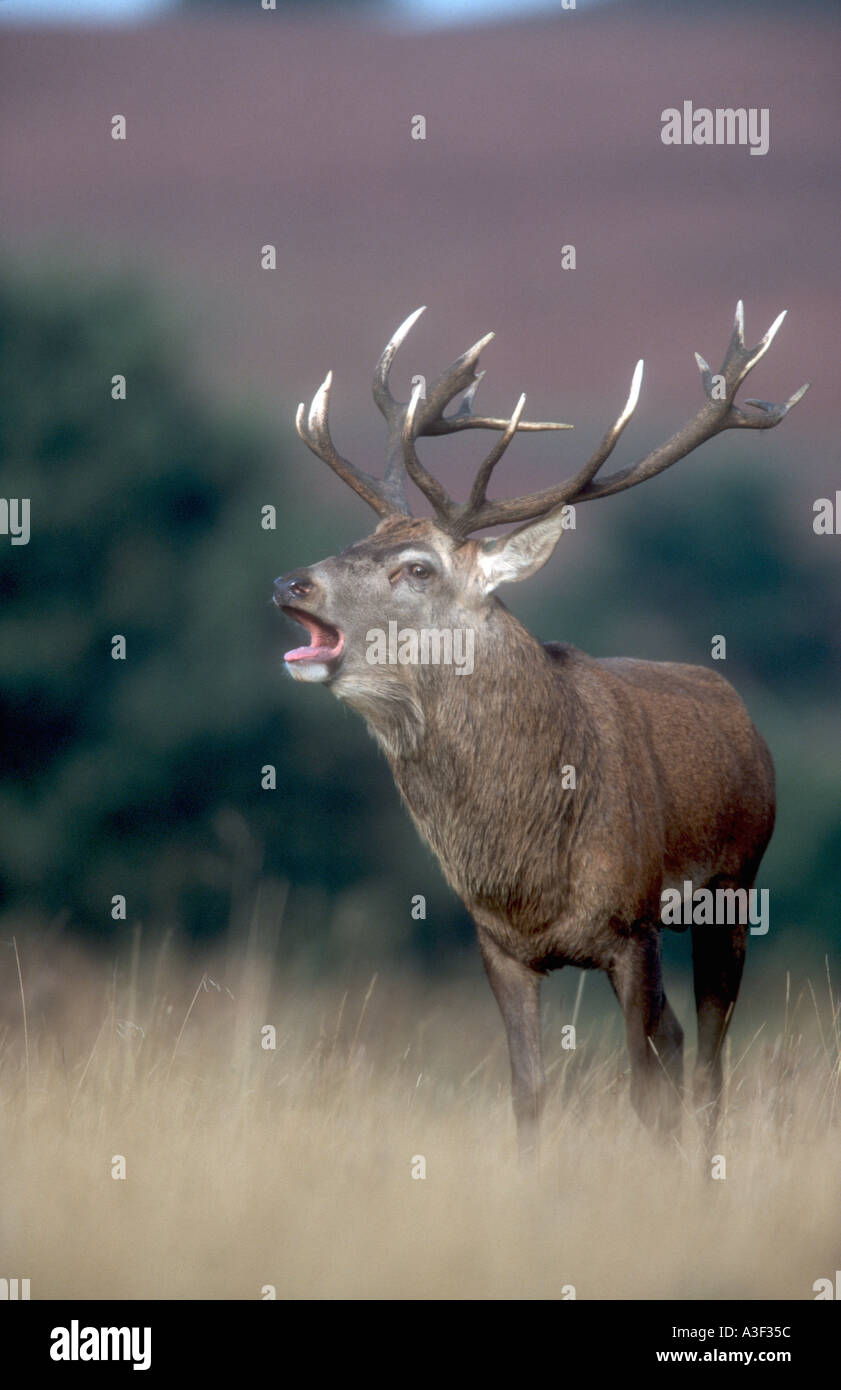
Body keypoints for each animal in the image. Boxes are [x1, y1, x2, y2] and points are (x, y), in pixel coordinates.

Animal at [273, 304, 808, 1158]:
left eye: (417, 567)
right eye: (358, 541)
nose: (289, 583)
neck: (530, 870)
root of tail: (738, 709)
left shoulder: (630, 927)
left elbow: (644, 1085)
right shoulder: (497, 944)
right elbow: (527, 1094)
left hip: (734, 883)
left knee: (706, 1063)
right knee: (682, 1044)